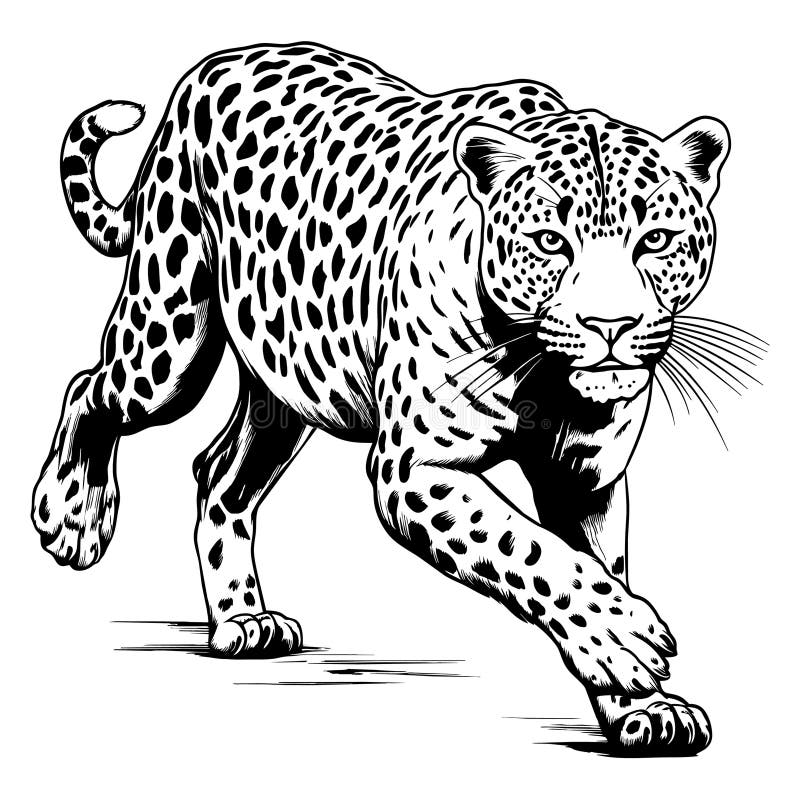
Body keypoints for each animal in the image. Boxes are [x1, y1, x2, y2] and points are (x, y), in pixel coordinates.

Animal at [32, 41, 730, 755]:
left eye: (655, 240)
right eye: (550, 243)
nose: (610, 325)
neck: (546, 381)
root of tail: (211, 64)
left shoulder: (585, 478)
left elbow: (596, 564)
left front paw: (641, 704)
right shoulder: (415, 468)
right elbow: (530, 552)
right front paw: (625, 639)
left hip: (285, 391)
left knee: (222, 475)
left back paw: (243, 621)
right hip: (168, 344)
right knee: (91, 389)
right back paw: (72, 517)